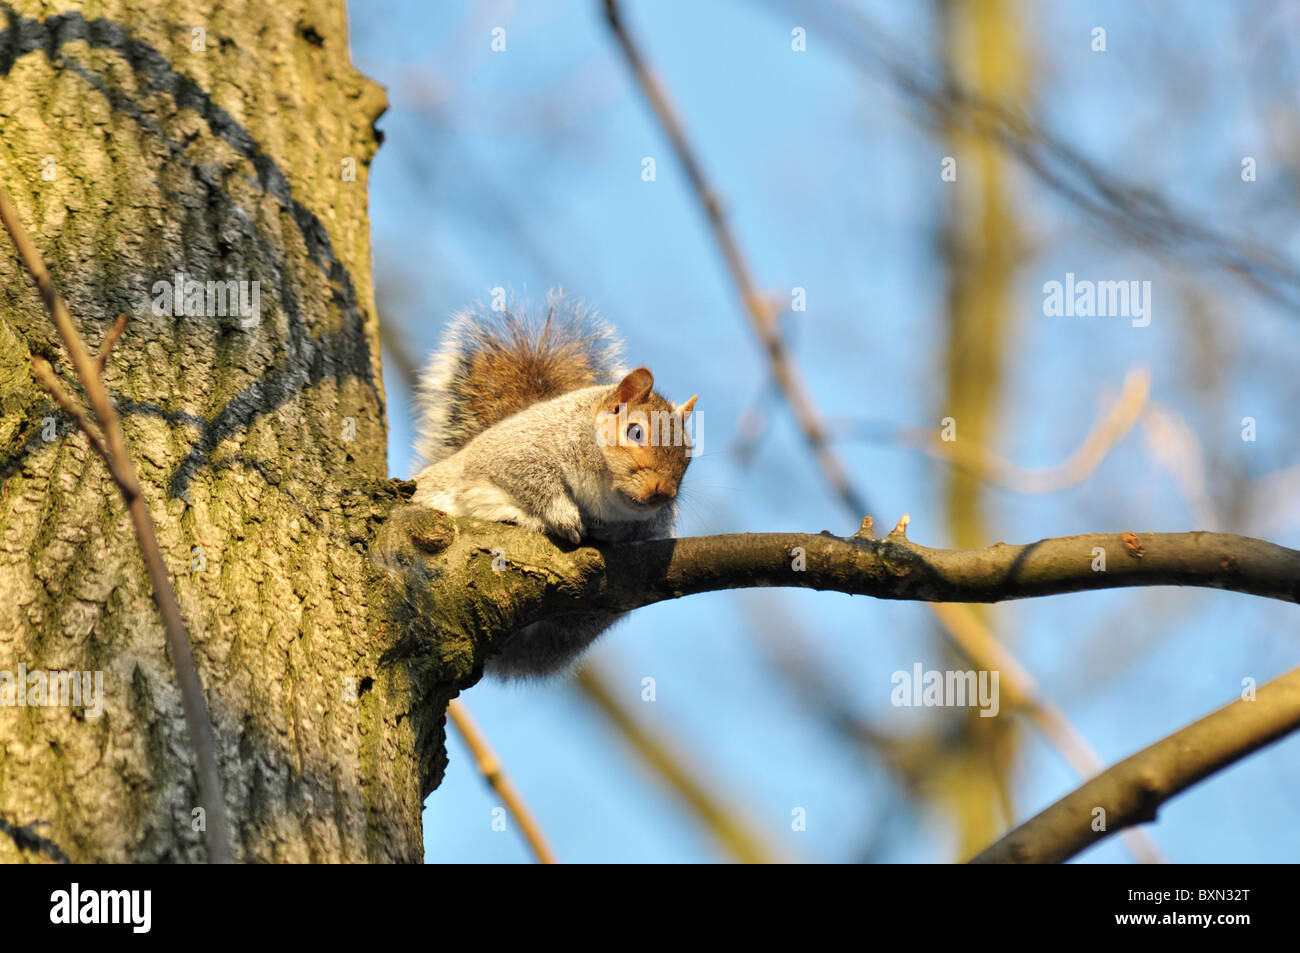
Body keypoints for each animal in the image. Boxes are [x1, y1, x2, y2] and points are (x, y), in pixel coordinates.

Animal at [411, 291, 697, 679]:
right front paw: (563, 516)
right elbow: (531, 481)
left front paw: (609, 533)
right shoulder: (514, 453)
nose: (663, 493)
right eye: (636, 432)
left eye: (689, 455)